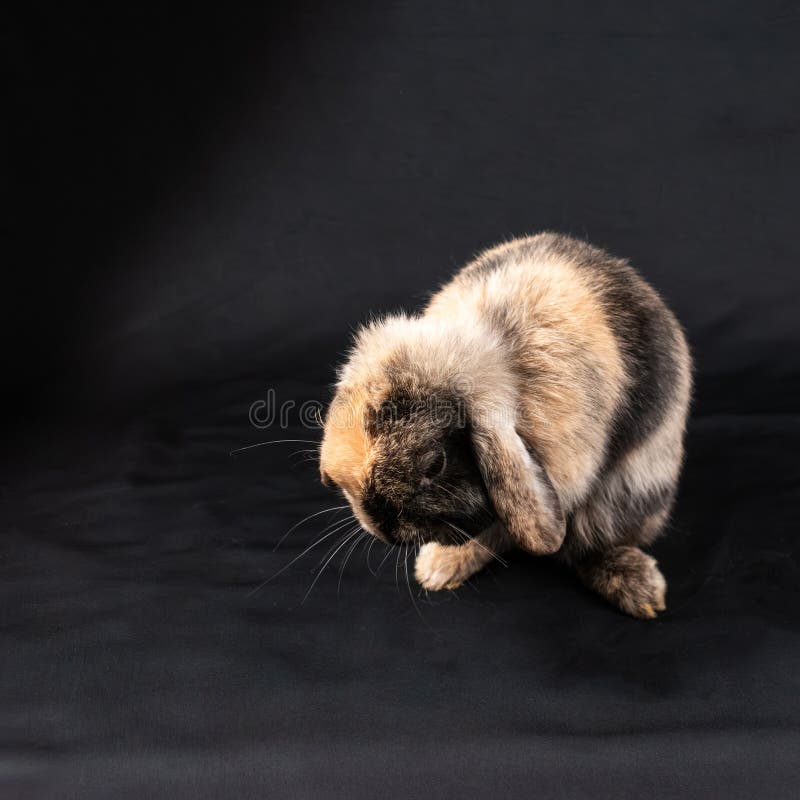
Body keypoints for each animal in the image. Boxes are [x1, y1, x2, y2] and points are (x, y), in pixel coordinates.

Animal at [319, 233, 692, 618]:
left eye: (435, 464)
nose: (386, 531)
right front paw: (438, 568)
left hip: (631, 491)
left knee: (595, 541)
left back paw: (640, 590)